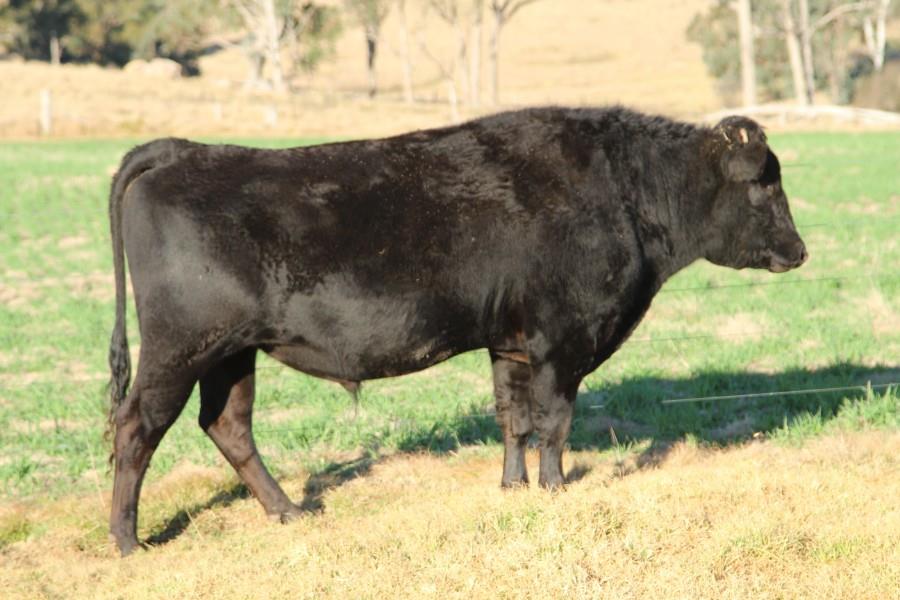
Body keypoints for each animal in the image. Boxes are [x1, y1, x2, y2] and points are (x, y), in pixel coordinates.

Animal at [106, 106, 807, 555]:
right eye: (762, 183)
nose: (799, 252)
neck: (625, 192)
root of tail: (186, 149)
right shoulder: (562, 343)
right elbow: (554, 421)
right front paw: (555, 490)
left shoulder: (511, 345)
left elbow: (513, 420)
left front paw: (513, 486)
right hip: (179, 351)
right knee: (136, 428)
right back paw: (127, 540)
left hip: (231, 355)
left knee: (227, 425)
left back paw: (290, 512)